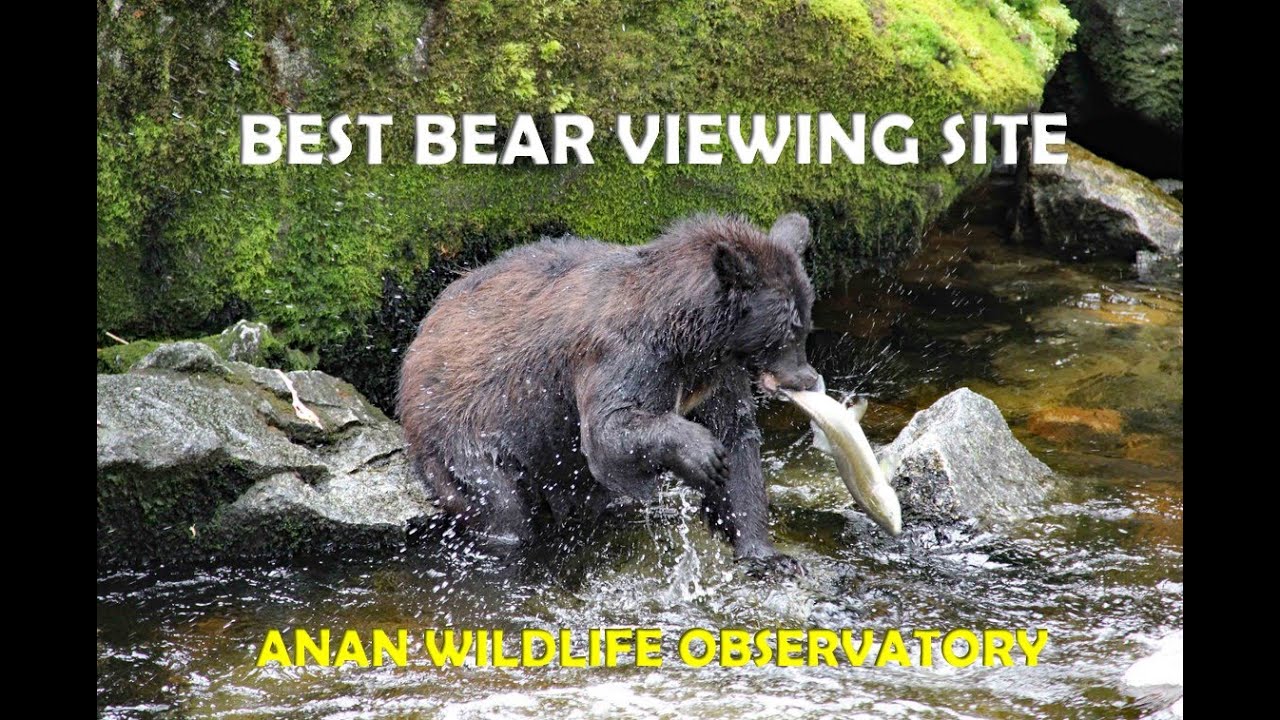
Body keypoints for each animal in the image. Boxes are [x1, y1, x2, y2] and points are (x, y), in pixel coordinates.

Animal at [397, 212, 822, 575]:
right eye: (788, 325)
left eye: (806, 318)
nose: (805, 378)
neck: (691, 339)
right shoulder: (623, 355)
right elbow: (607, 430)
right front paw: (702, 452)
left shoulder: (718, 376)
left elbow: (737, 437)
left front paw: (768, 555)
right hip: (463, 431)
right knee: (501, 503)